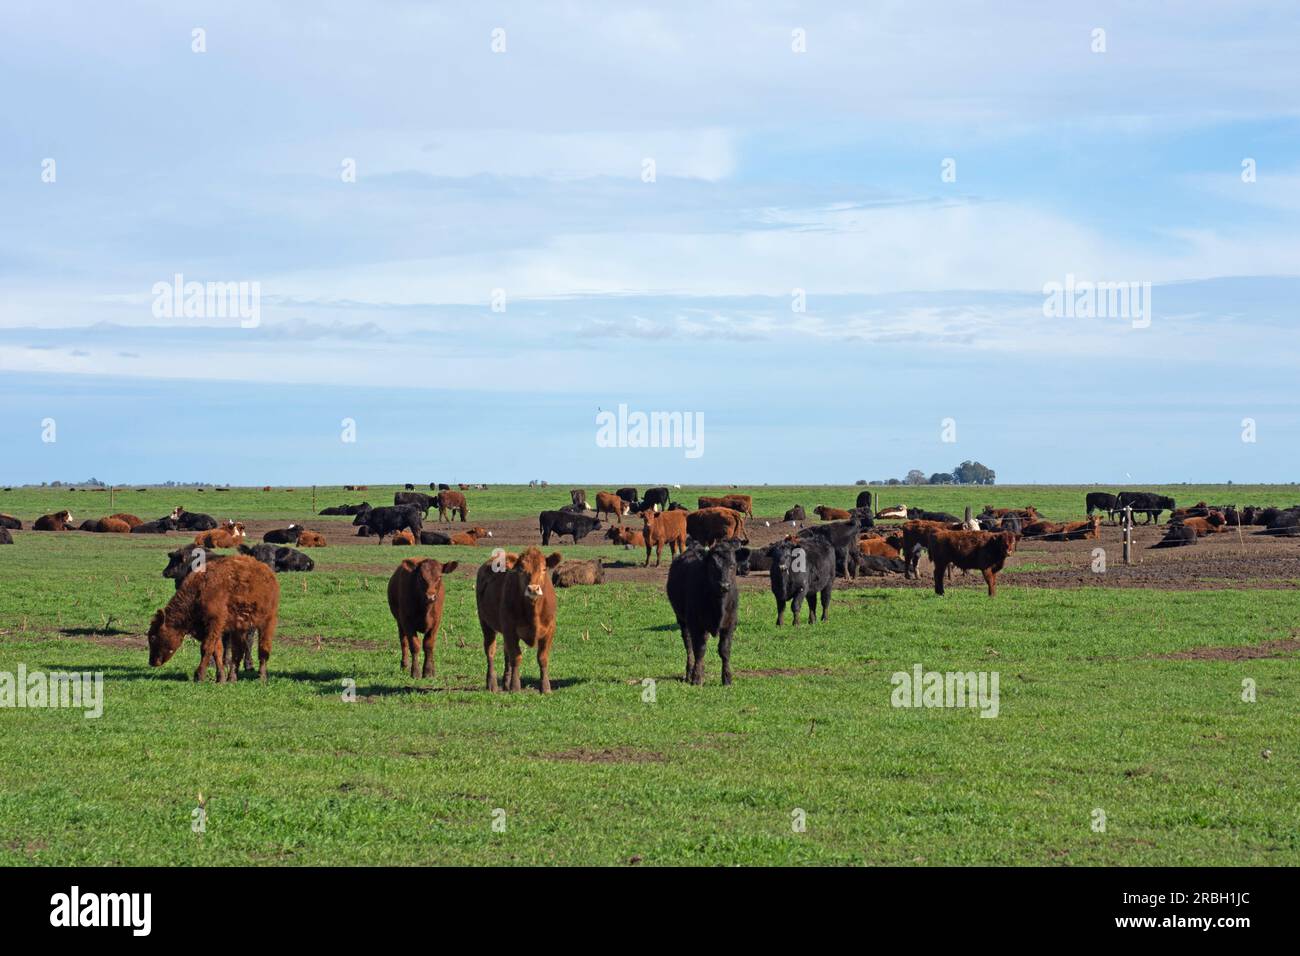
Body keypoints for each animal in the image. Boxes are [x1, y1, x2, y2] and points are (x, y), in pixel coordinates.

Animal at [147, 554, 280, 683]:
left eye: (153, 637)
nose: (151, 662)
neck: (199, 590)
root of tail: (266, 570)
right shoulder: (213, 629)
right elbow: (217, 651)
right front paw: (220, 678)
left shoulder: (214, 623)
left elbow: (206, 648)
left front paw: (199, 676)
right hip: (240, 627)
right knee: (238, 651)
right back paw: (232, 678)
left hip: (267, 621)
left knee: (263, 648)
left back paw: (261, 677)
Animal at [476, 547, 563, 693]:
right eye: (521, 569)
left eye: (544, 569)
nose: (533, 589)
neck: (533, 611)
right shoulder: (510, 629)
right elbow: (516, 657)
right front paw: (515, 687)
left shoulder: (550, 629)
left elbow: (542, 658)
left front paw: (545, 687)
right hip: (485, 624)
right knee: (490, 651)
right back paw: (492, 683)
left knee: (506, 653)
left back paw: (505, 683)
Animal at [666, 541, 748, 686]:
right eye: (713, 565)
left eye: (732, 565)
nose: (724, 585)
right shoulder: (695, 623)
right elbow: (699, 649)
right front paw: (697, 678)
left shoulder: (730, 623)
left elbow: (724, 649)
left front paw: (727, 678)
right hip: (682, 619)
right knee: (689, 645)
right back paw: (689, 673)